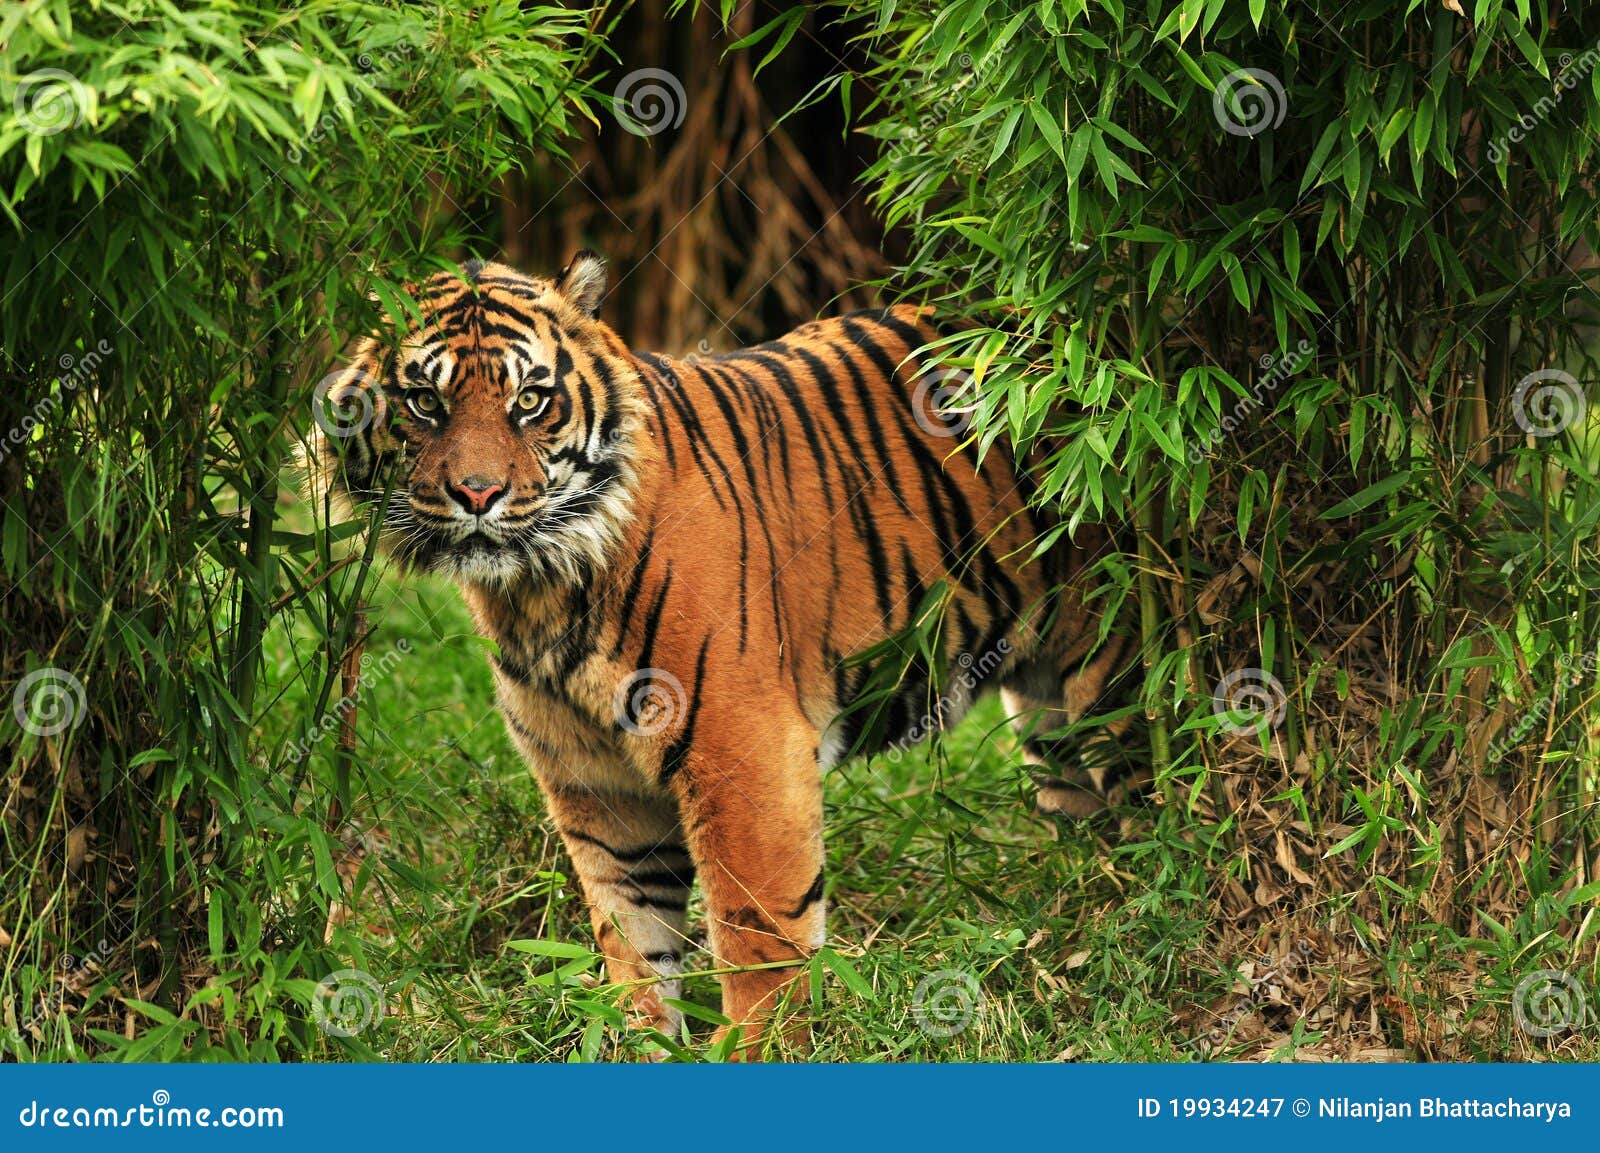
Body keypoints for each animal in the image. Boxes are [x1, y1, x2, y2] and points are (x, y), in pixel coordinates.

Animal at [304, 253, 1140, 1057]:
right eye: (424, 402)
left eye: (531, 402)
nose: (478, 493)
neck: (538, 589)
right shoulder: (595, 783)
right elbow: (631, 936)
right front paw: (637, 1044)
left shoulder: (743, 749)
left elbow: (758, 930)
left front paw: (755, 1048)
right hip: (1050, 717)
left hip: (1118, 664)